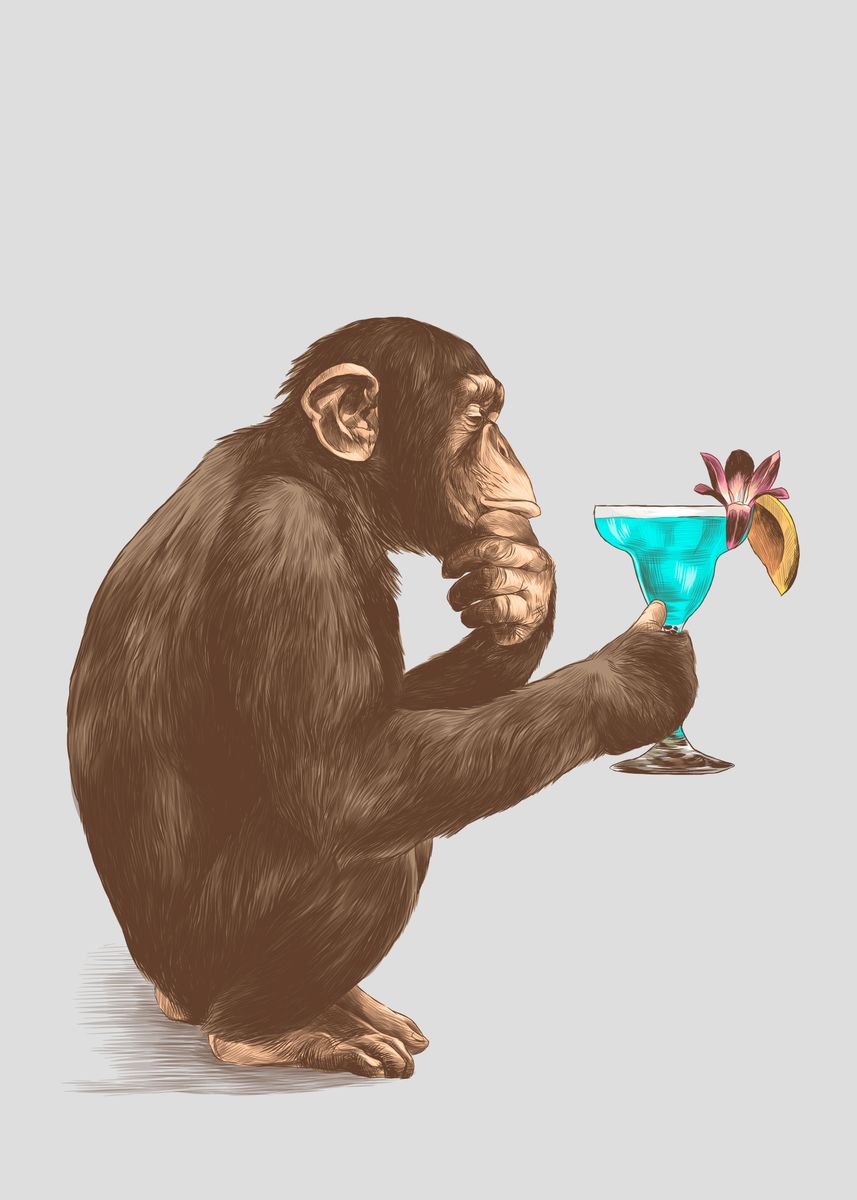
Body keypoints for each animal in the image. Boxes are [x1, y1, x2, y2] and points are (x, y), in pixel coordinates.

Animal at [68, 317, 696, 1078]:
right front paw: (631, 681)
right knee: (369, 843)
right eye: (478, 418)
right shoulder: (285, 541)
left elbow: (393, 715)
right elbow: (346, 777)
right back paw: (266, 1034)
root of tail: (168, 991)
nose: (510, 454)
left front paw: (519, 591)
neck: (318, 474)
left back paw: (343, 1008)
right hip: (206, 957)